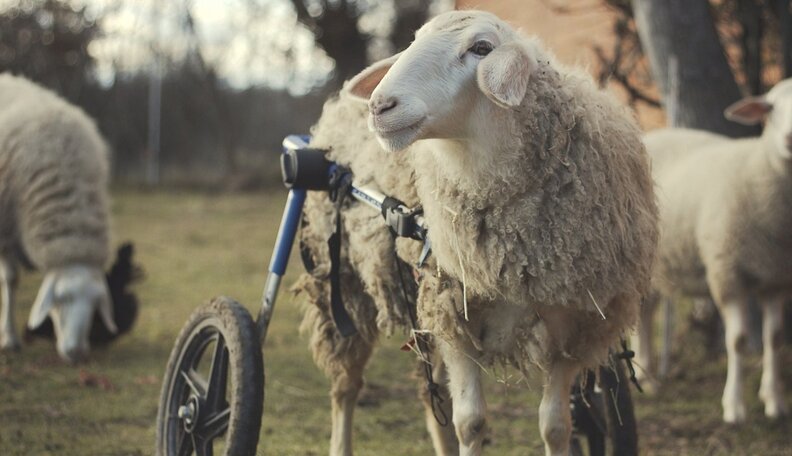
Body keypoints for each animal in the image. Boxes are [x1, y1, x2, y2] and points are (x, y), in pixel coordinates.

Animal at [0, 73, 116, 363]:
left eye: (96, 303)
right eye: (62, 299)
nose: (77, 353)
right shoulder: (4, 229)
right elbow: (11, 279)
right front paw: (10, 338)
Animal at [346, 10, 658, 455]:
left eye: (481, 48)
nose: (379, 106)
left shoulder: (574, 328)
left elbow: (556, 426)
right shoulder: (452, 312)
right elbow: (470, 422)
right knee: (347, 388)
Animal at [633, 78, 792, 423]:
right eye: (771, 108)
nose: (789, 138)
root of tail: (654, 133)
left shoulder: (777, 279)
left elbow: (774, 339)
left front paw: (774, 401)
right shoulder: (726, 271)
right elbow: (739, 340)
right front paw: (734, 407)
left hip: (657, 268)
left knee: (647, 313)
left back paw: (648, 377)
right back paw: (643, 376)